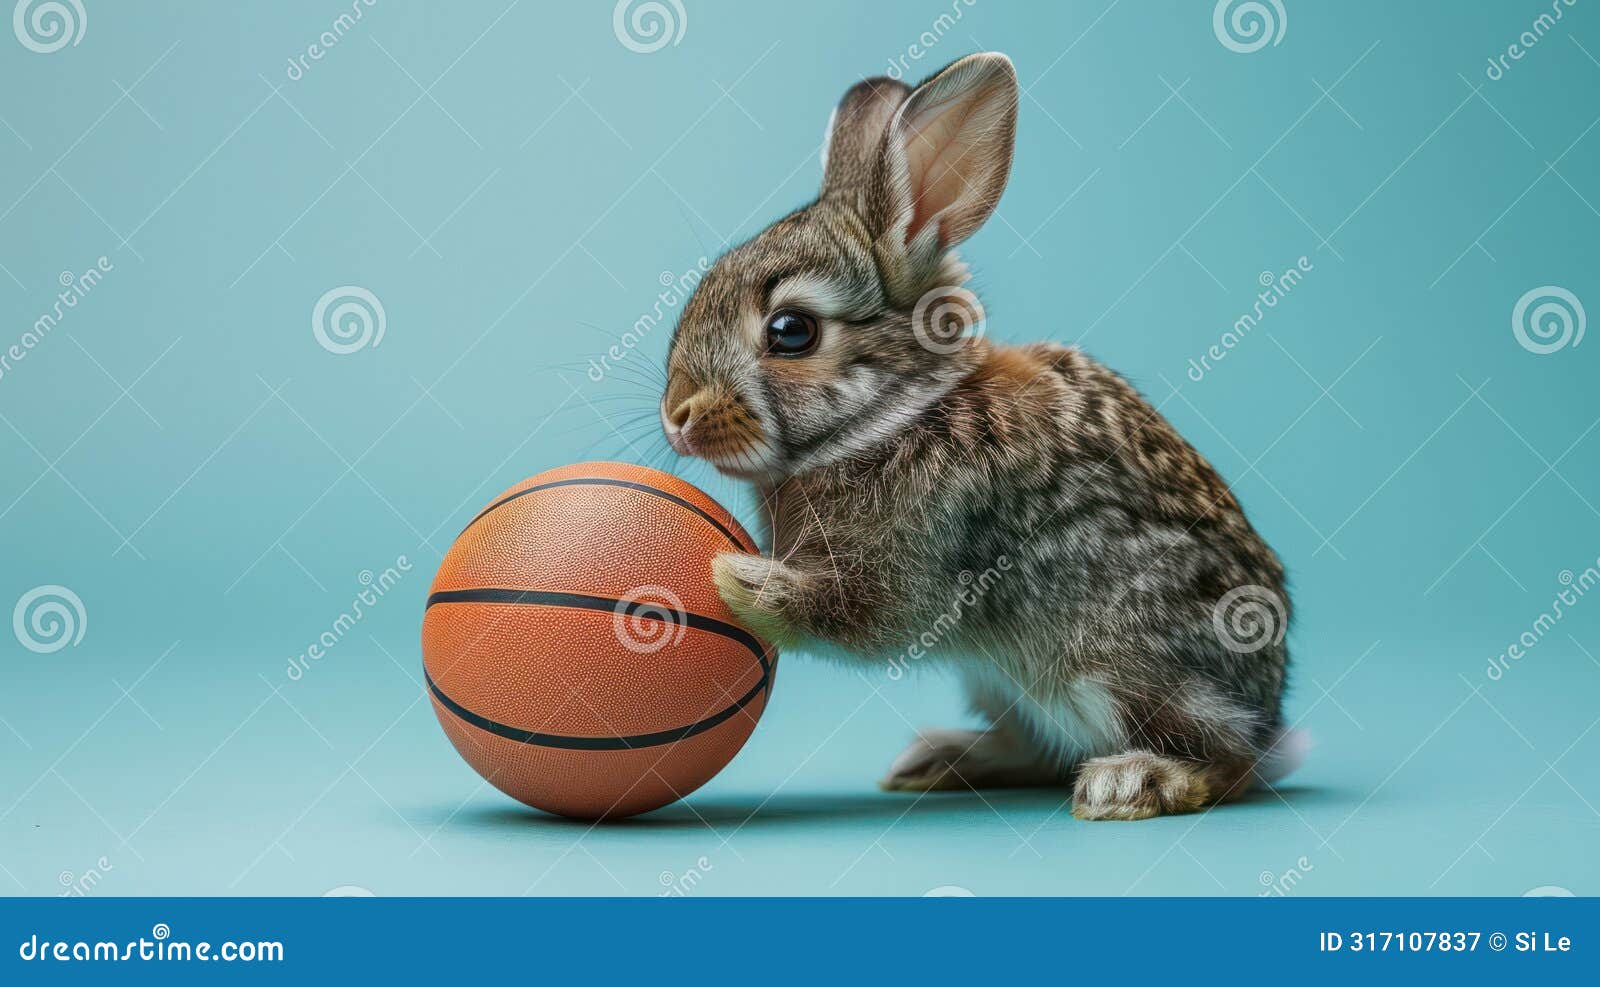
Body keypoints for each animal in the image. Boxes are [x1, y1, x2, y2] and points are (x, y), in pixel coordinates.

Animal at [659, 51, 1303, 820]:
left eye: (791, 331)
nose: (677, 415)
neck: (893, 417)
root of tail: (1266, 706)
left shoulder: (914, 563)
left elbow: (855, 615)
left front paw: (740, 578)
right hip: (999, 679)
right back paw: (942, 759)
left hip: (1108, 661)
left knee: (1225, 763)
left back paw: (1134, 780)